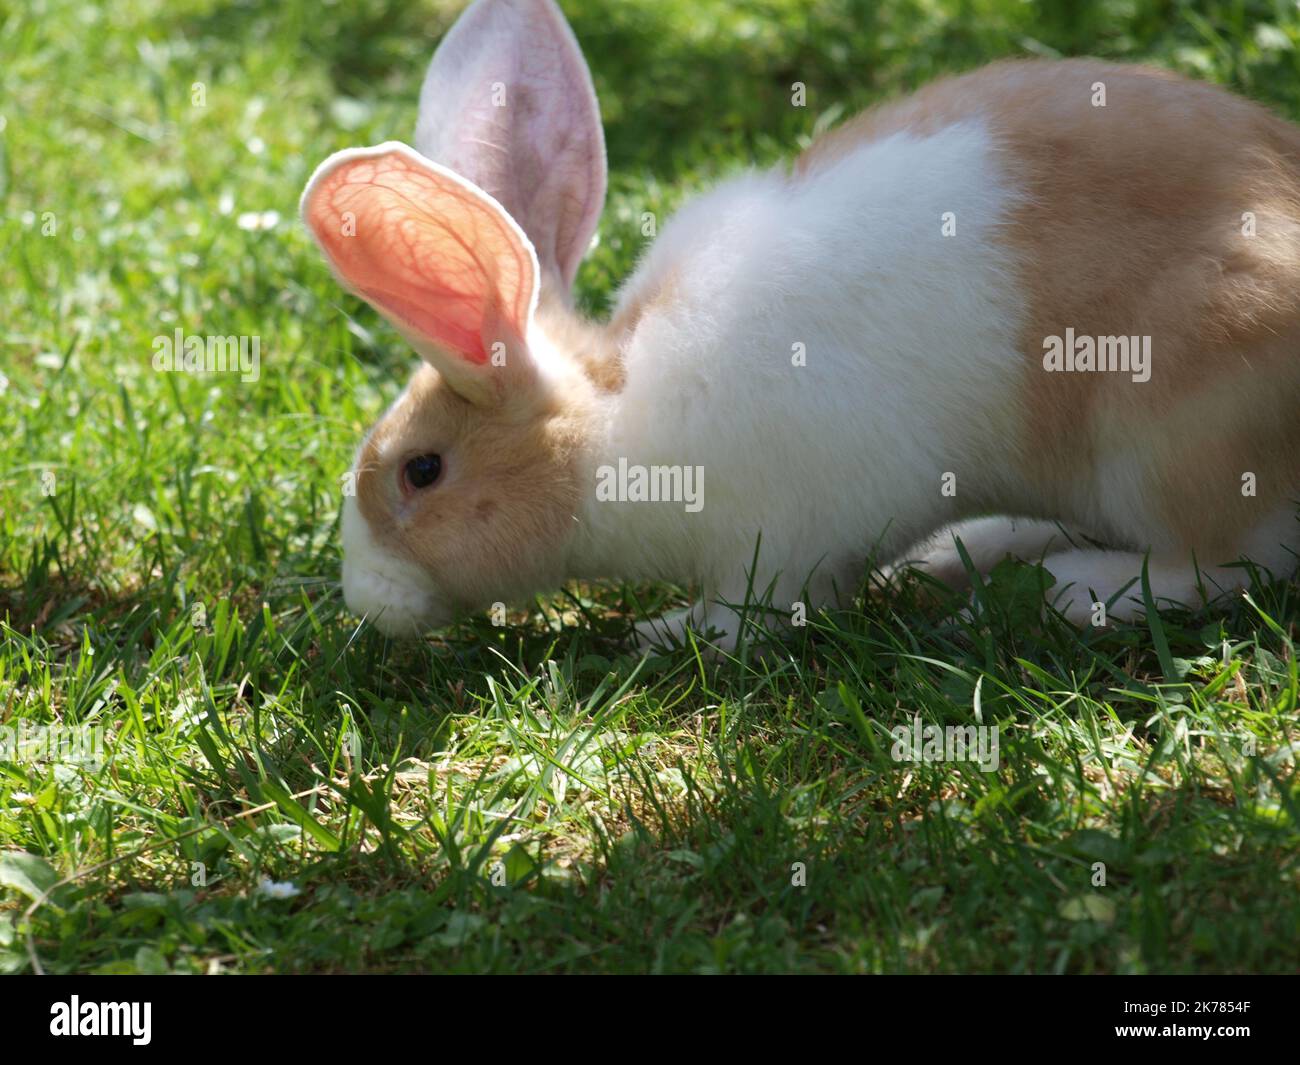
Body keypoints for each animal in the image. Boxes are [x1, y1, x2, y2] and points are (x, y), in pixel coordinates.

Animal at [301, 0, 1300, 648]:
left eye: (421, 472)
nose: (368, 598)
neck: (612, 428)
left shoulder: (783, 545)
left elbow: (752, 615)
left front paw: (667, 632)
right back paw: (967, 552)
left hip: (1171, 443)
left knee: (1231, 565)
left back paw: (1067, 590)